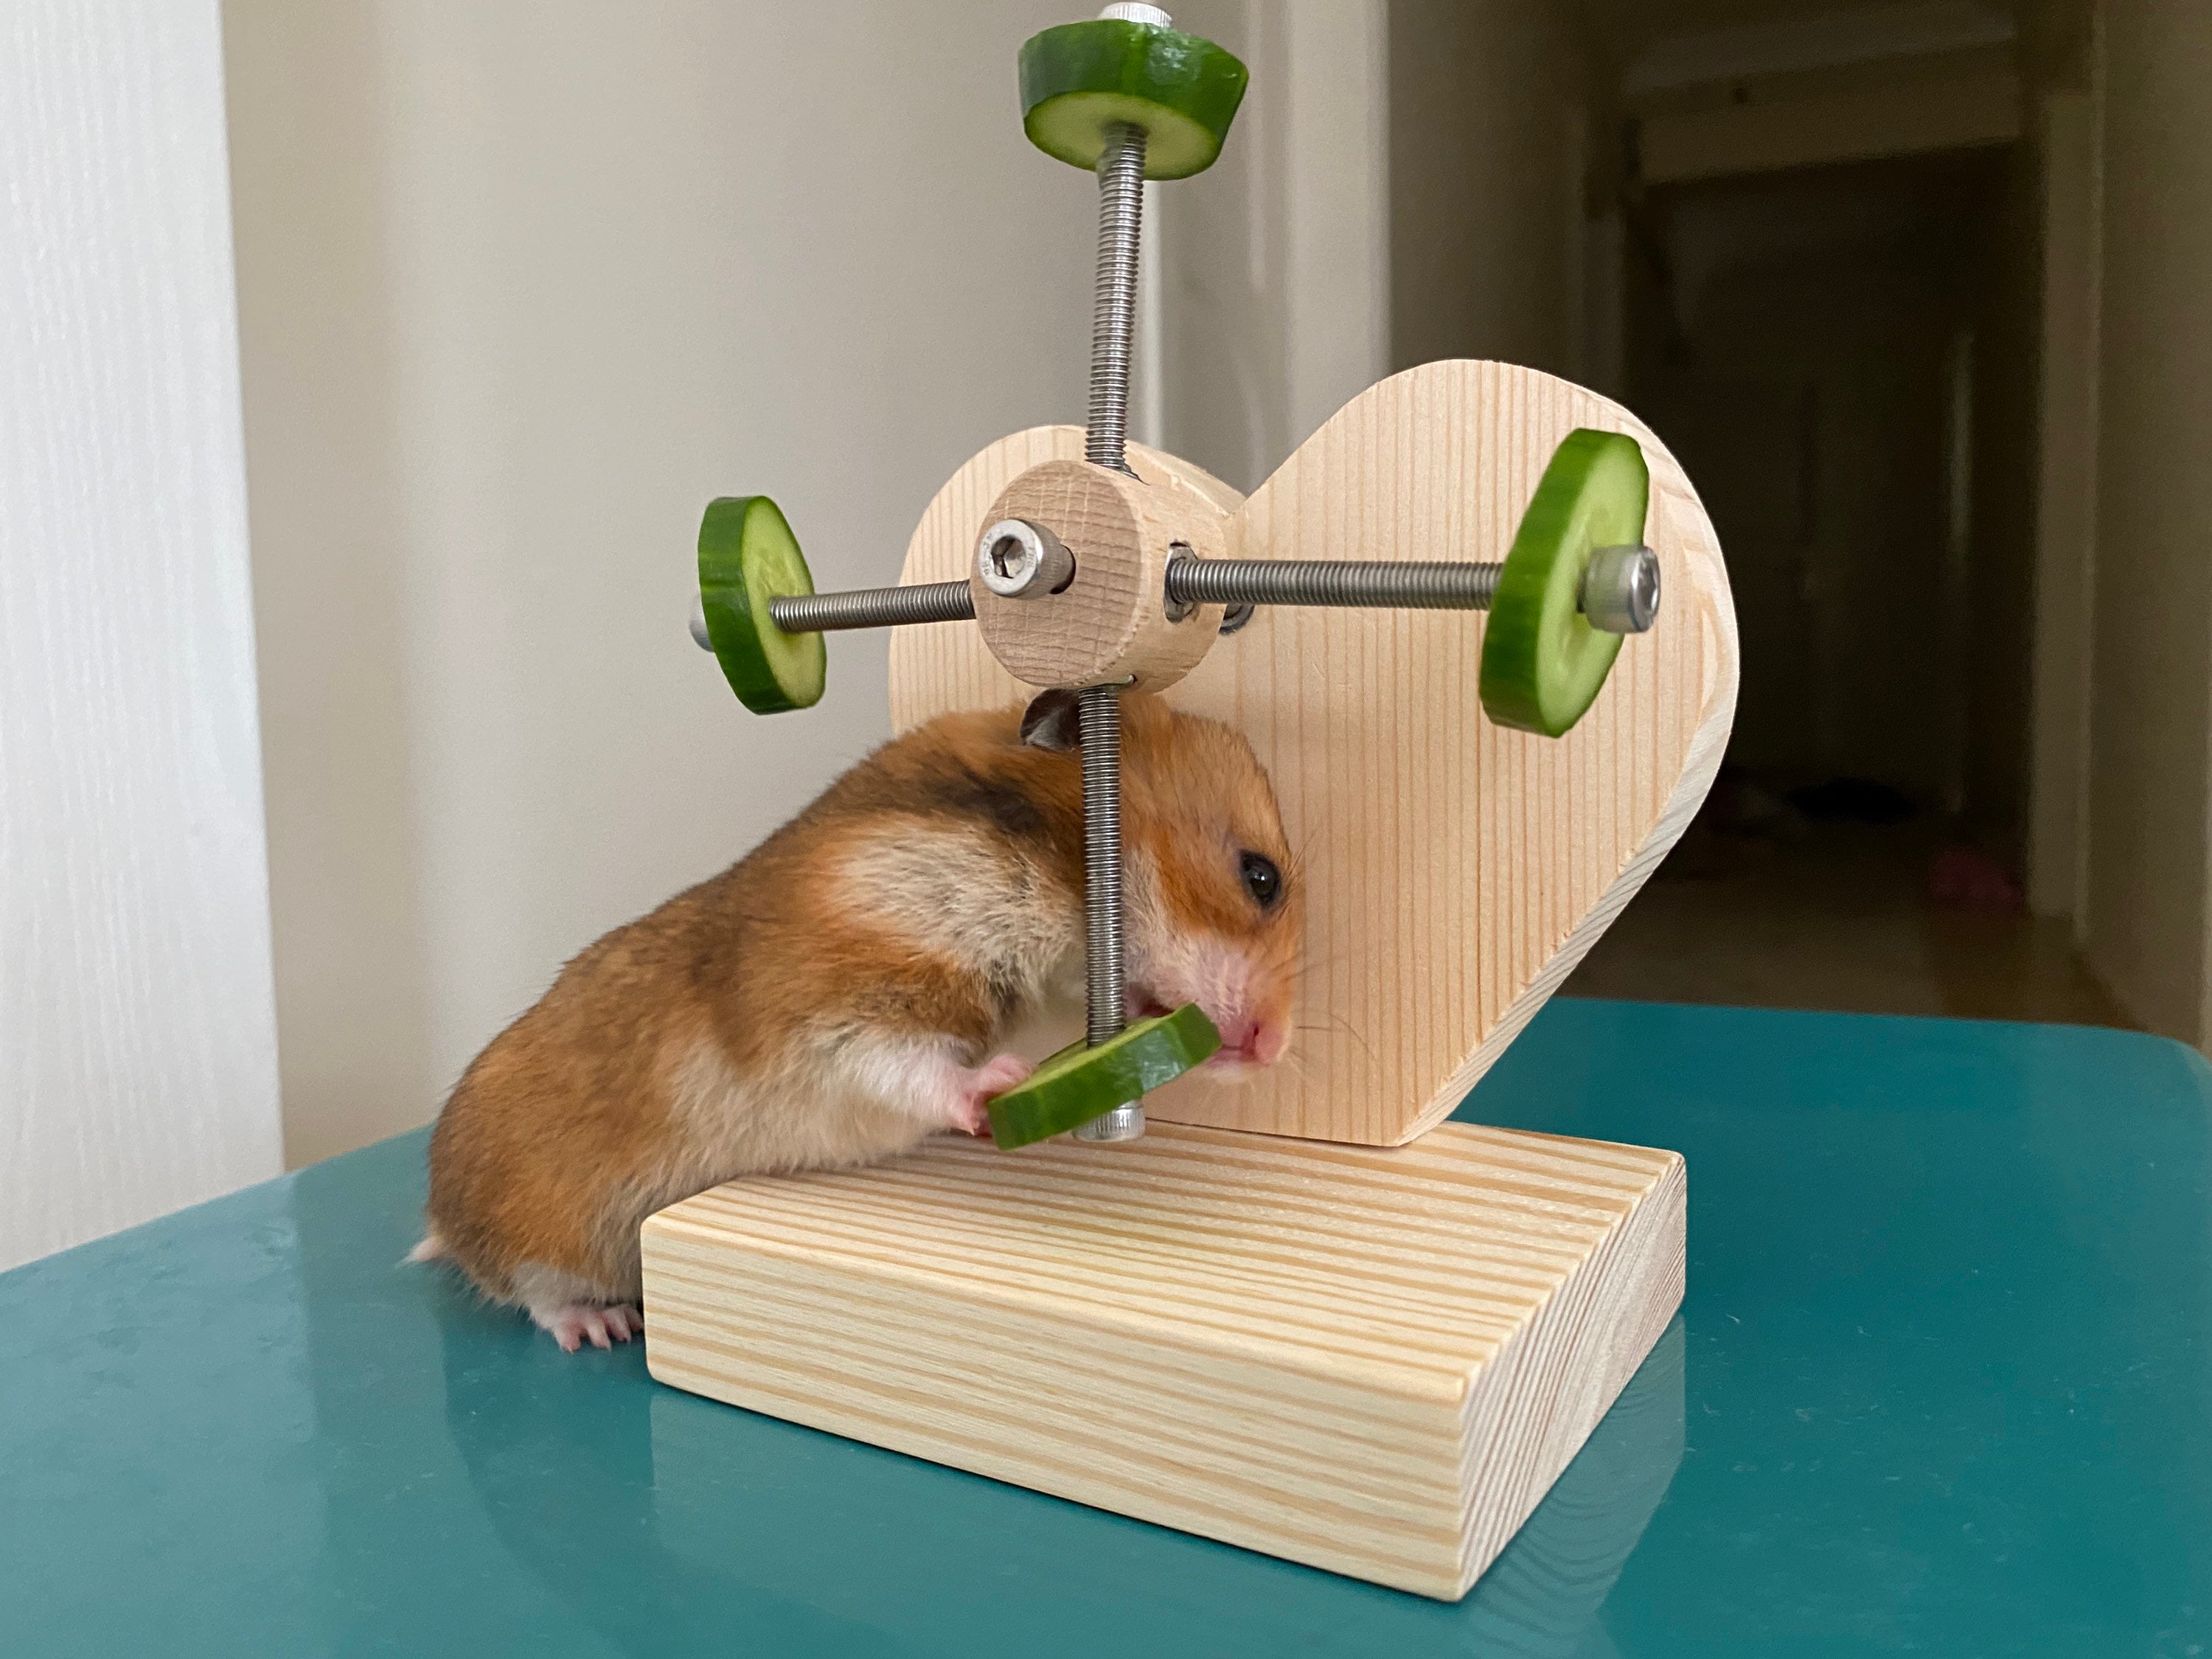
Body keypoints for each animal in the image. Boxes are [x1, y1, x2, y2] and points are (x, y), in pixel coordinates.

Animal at [413, 692, 1301, 1351]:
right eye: (1262, 877)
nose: (1272, 1048)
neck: (1051, 879)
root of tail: (441, 1214)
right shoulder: (838, 1017)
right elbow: (918, 1069)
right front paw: (1002, 1084)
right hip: (544, 1238)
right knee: (533, 1294)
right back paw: (603, 1327)